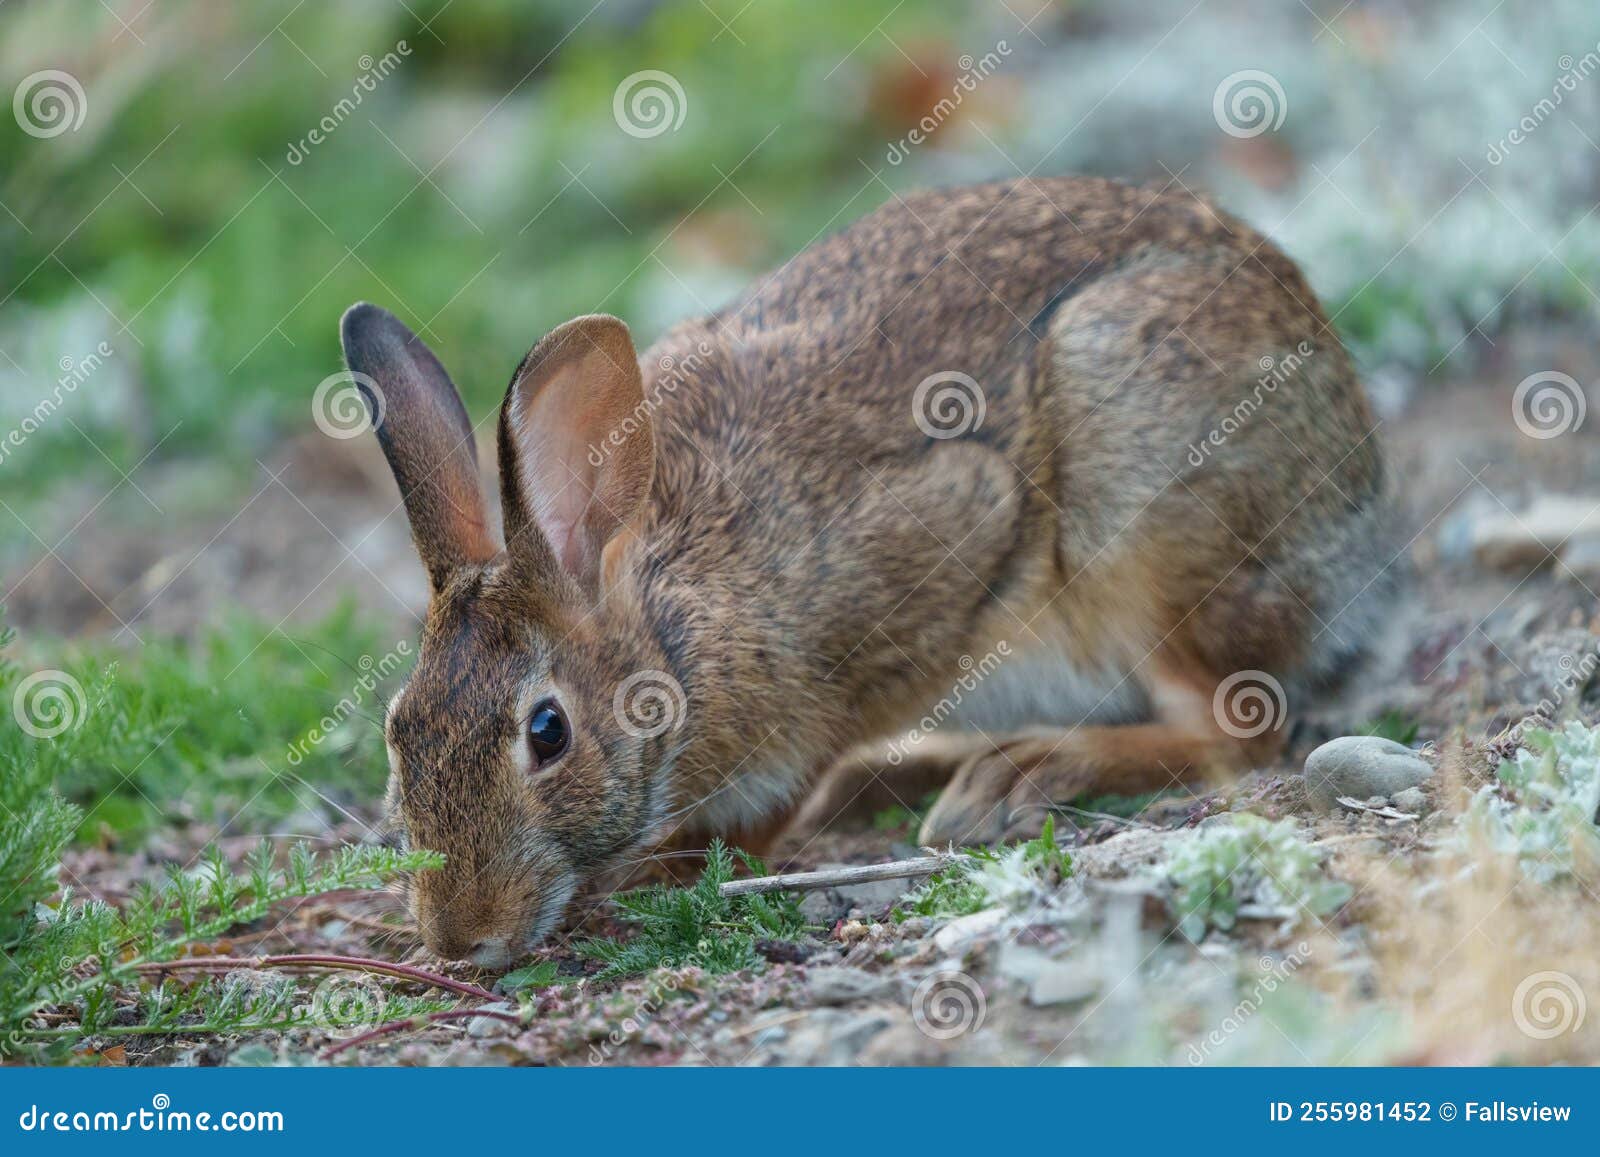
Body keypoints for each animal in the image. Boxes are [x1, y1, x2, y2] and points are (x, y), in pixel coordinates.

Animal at [340, 175, 1396, 967]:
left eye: (547, 732)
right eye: (398, 729)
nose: (456, 939)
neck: (667, 627)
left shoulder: (885, 605)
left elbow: (781, 786)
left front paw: (668, 866)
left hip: (1147, 518)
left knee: (1234, 721)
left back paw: (1012, 773)